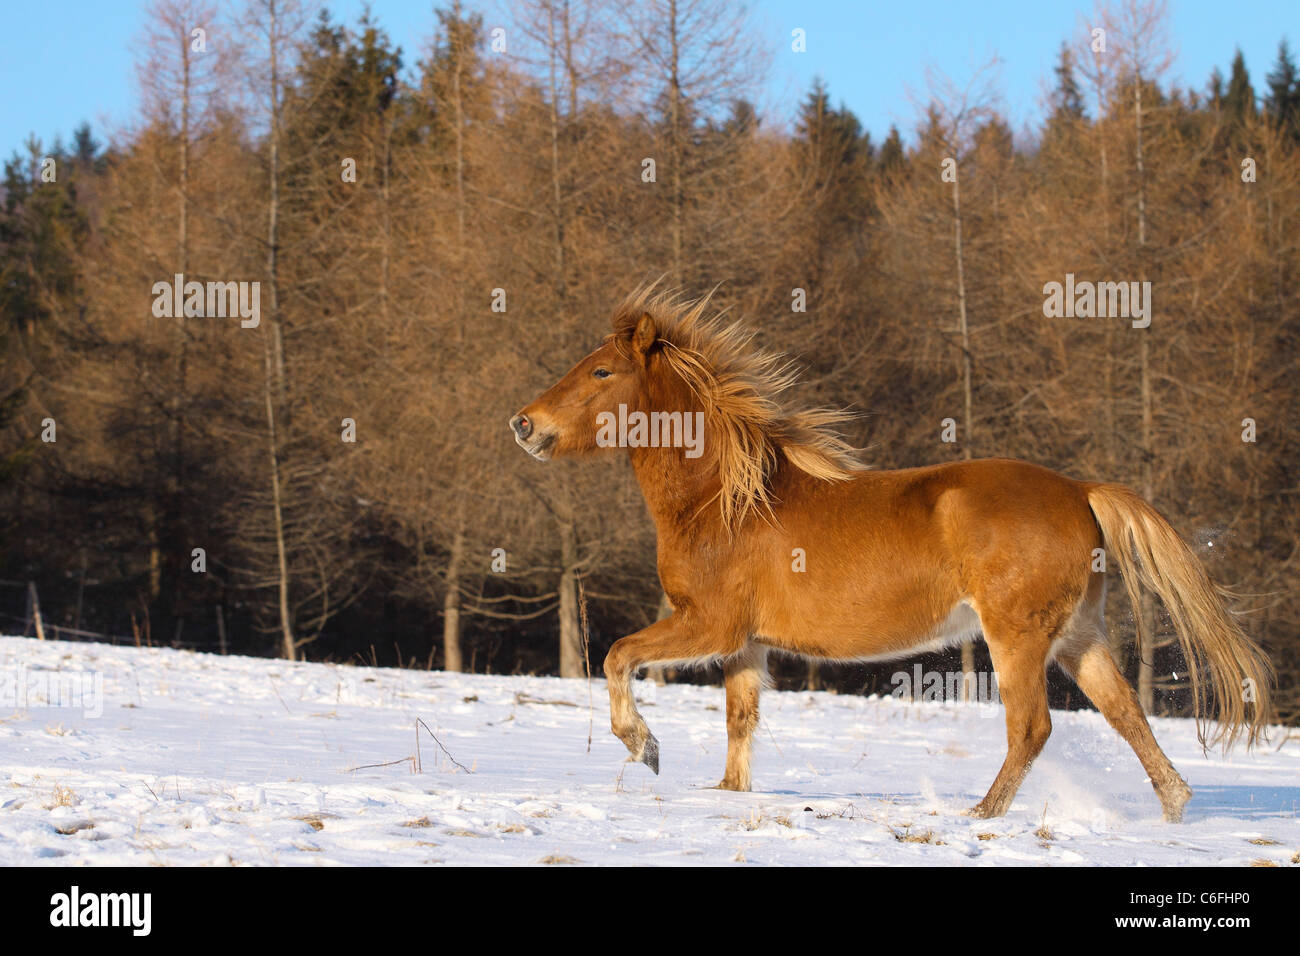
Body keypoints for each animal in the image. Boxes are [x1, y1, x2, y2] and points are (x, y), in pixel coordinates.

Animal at [508, 286, 1273, 821]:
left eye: (601, 371)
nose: (524, 424)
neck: (725, 502)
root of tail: (1081, 491)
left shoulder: (710, 625)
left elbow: (617, 656)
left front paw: (645, 747)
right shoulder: (747, 644)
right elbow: (739, 723)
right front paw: (724, 792)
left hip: (1018, 636)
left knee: (1032, 726)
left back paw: (981, 814)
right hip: (1079, 637)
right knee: (1126, 716)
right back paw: (1173, 811)